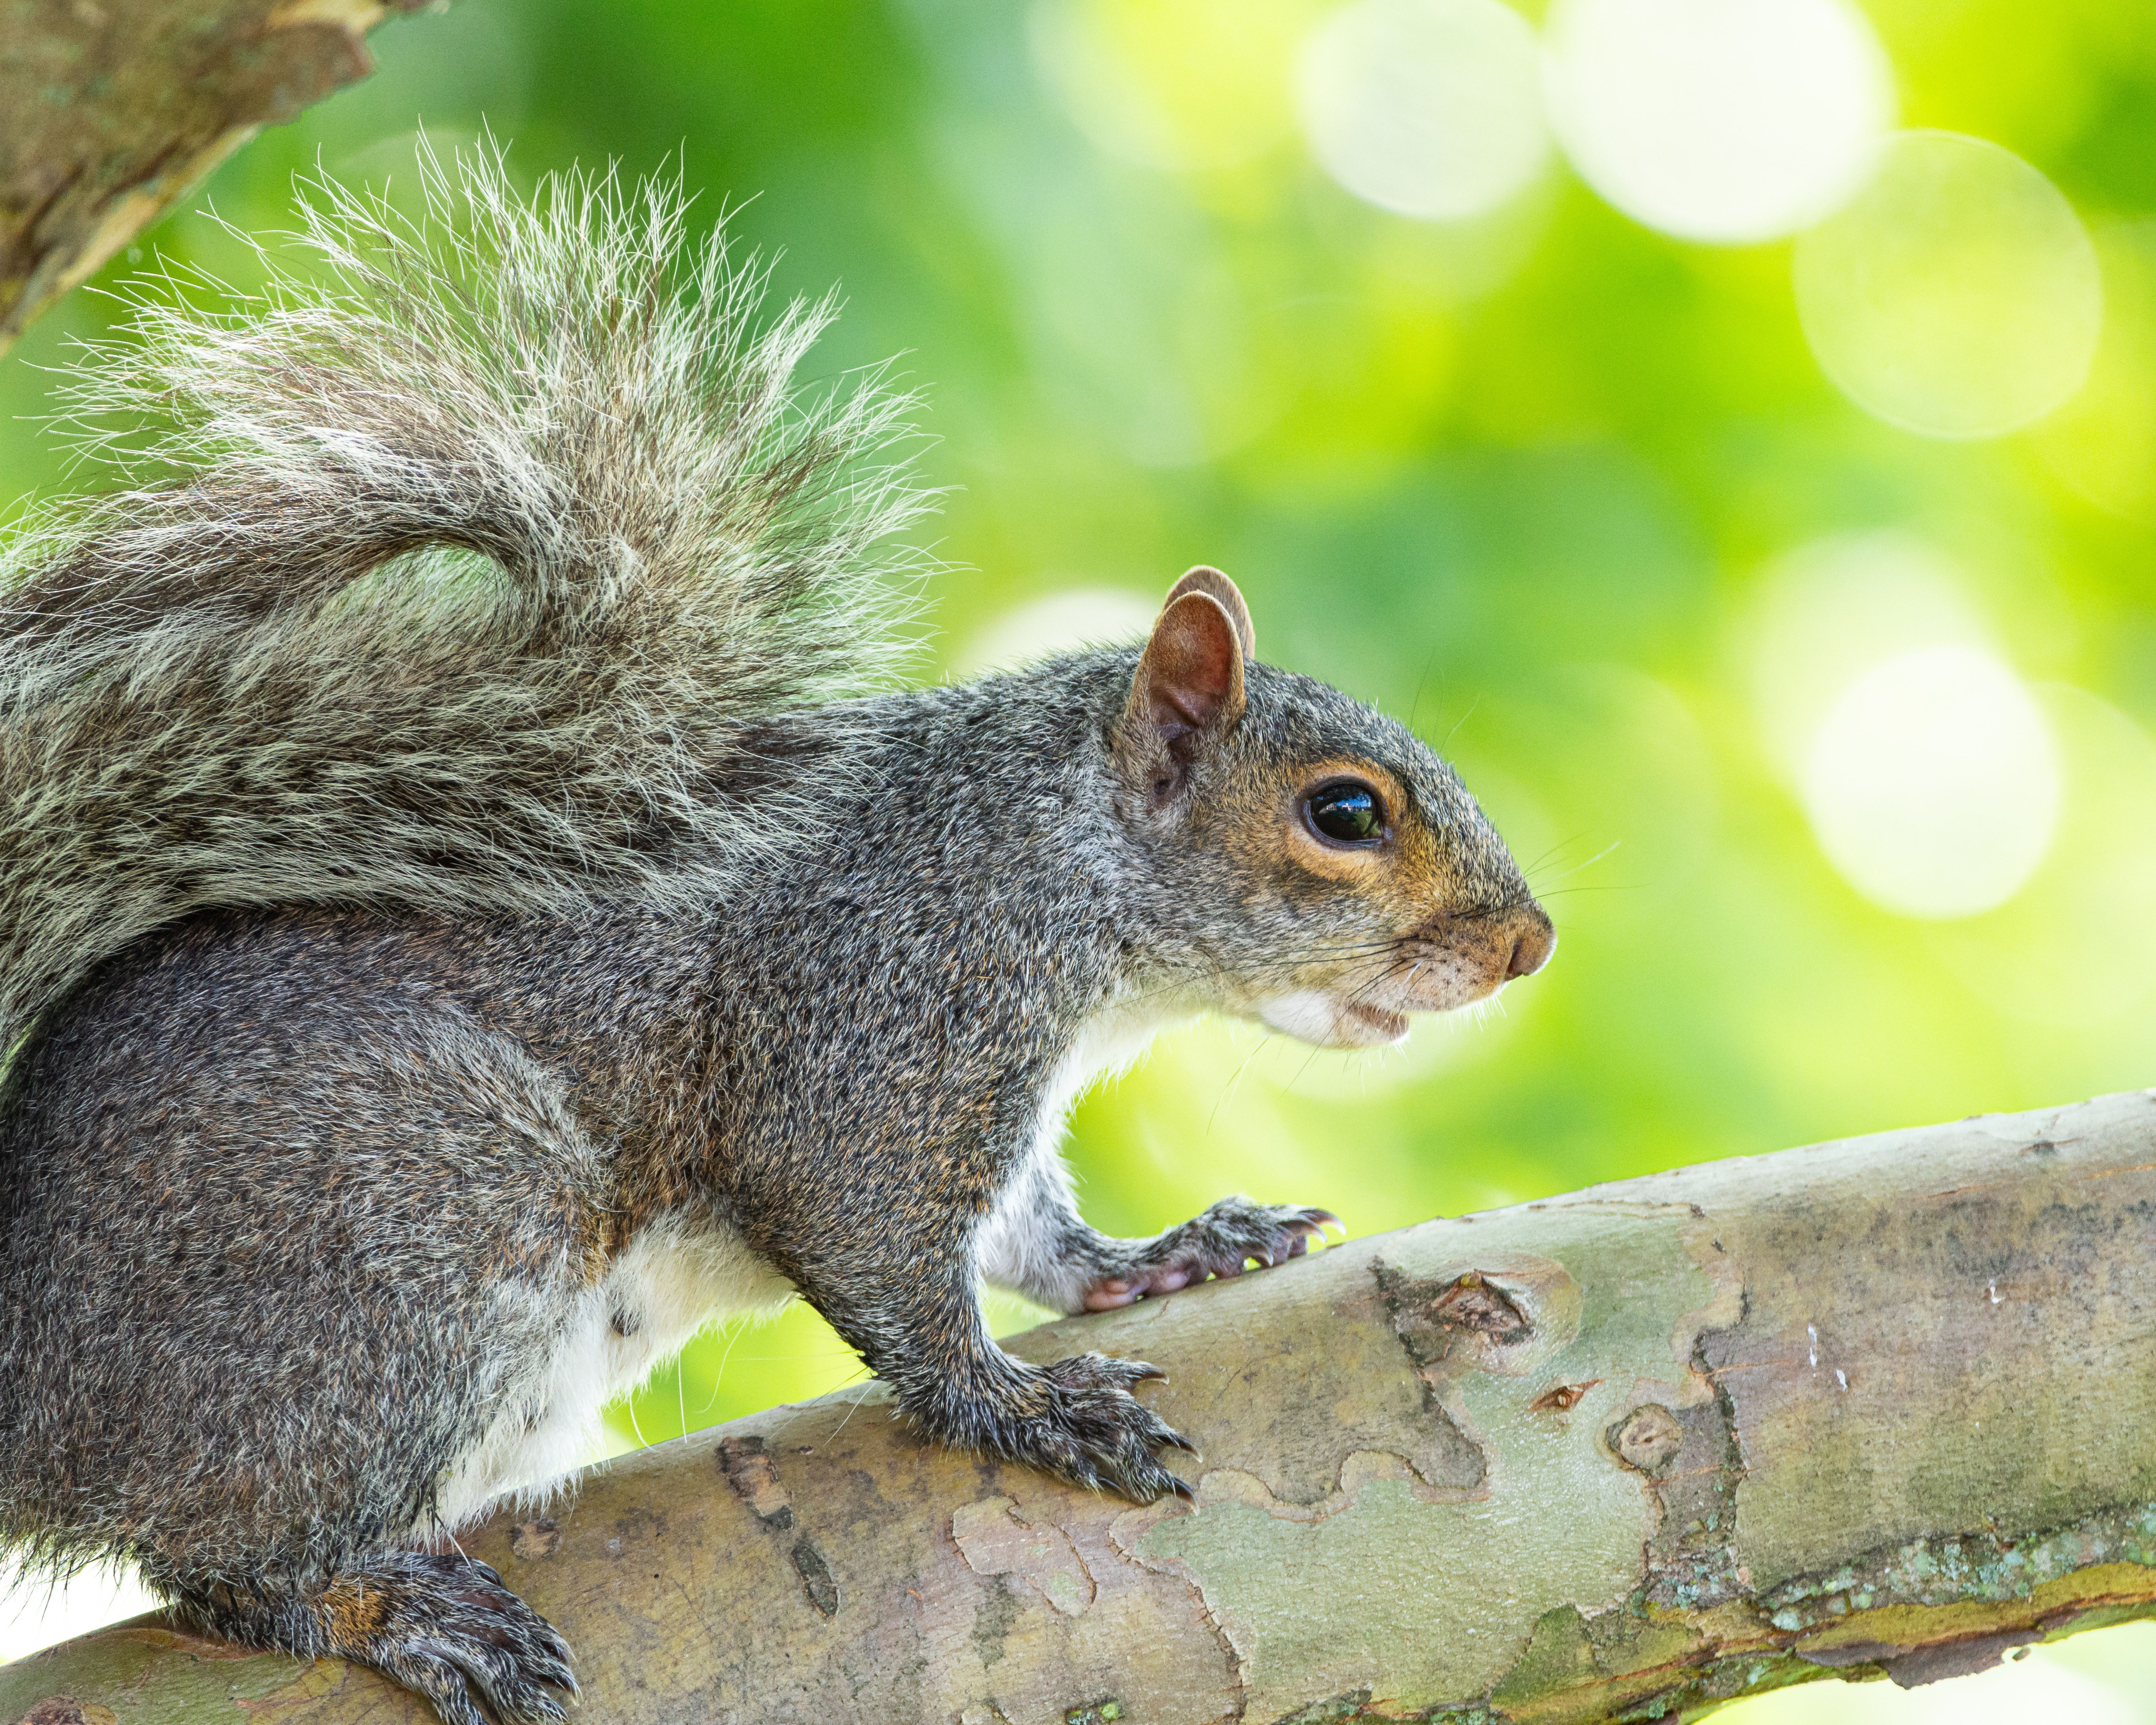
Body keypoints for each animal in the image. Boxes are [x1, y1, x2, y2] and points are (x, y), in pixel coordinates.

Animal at [0, 151, 1553, 1725]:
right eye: (1343, 811)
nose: (1529, 944)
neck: (1044, 858)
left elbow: (1033, 1238)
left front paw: (1173, 1250)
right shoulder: (879, 1021)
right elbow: (874, 1247)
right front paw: (1025, 1408)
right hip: (413, 1227)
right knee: (223, 1565)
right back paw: (389, 1608)